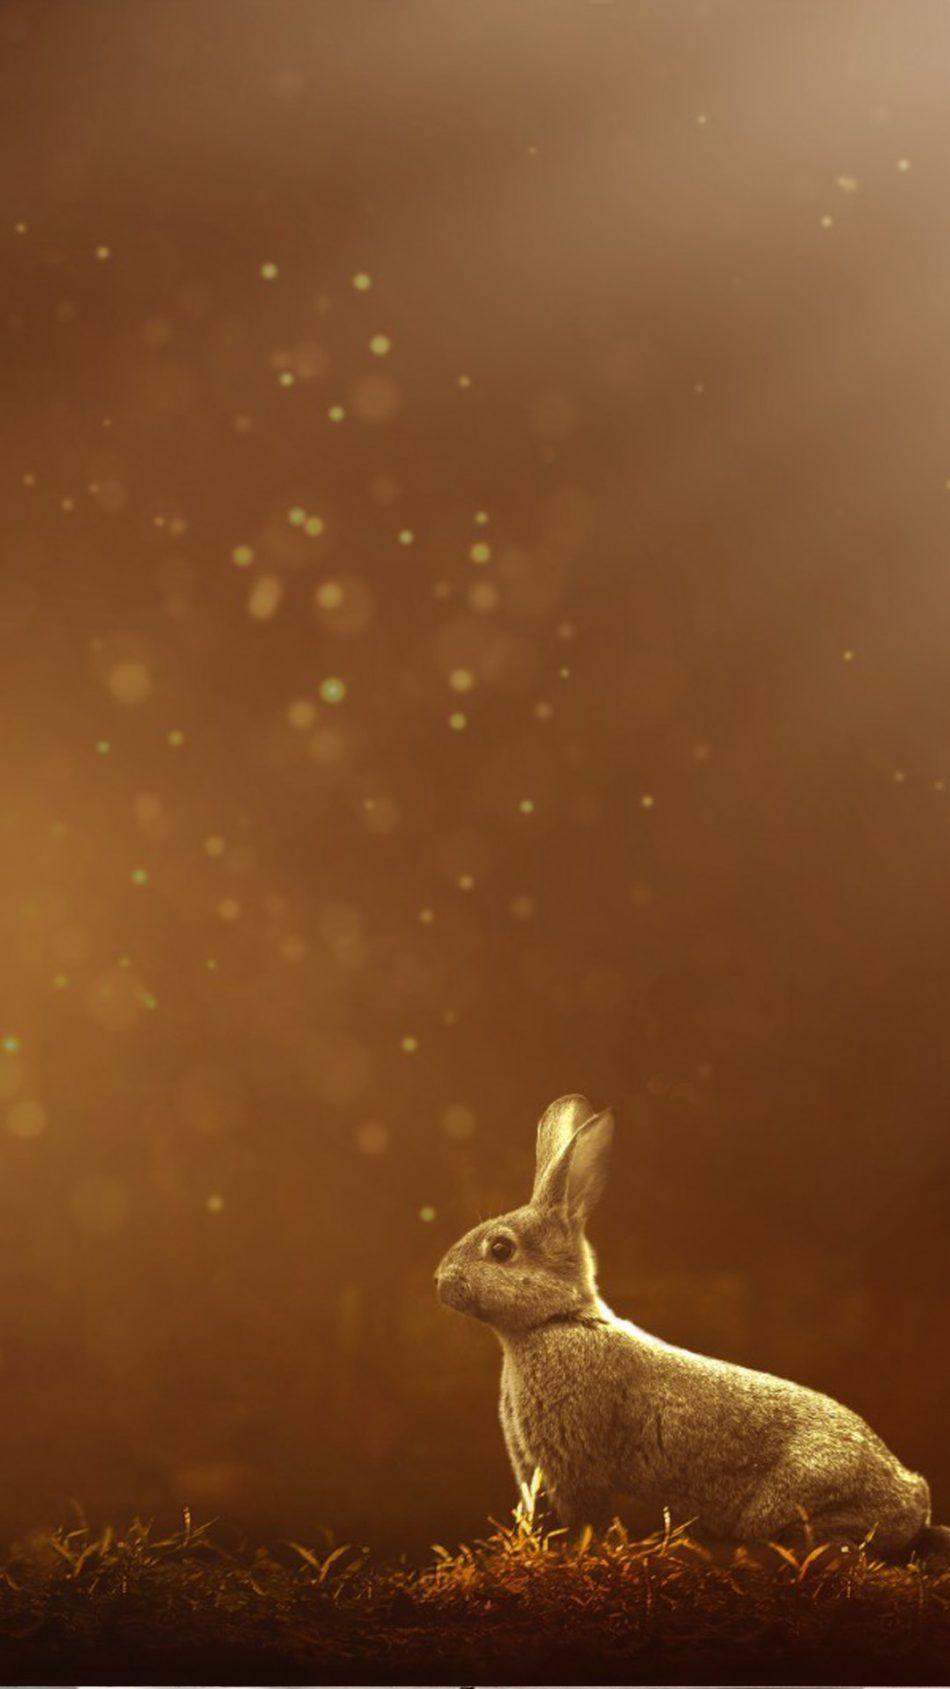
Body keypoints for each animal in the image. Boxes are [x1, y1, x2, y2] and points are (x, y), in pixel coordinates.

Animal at [435, 1092, 949, 1560]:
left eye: (501, 1249)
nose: (440, 1282)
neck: (555, 1322)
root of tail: (913, 1498)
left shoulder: (574, 1465)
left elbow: (585, 1518)